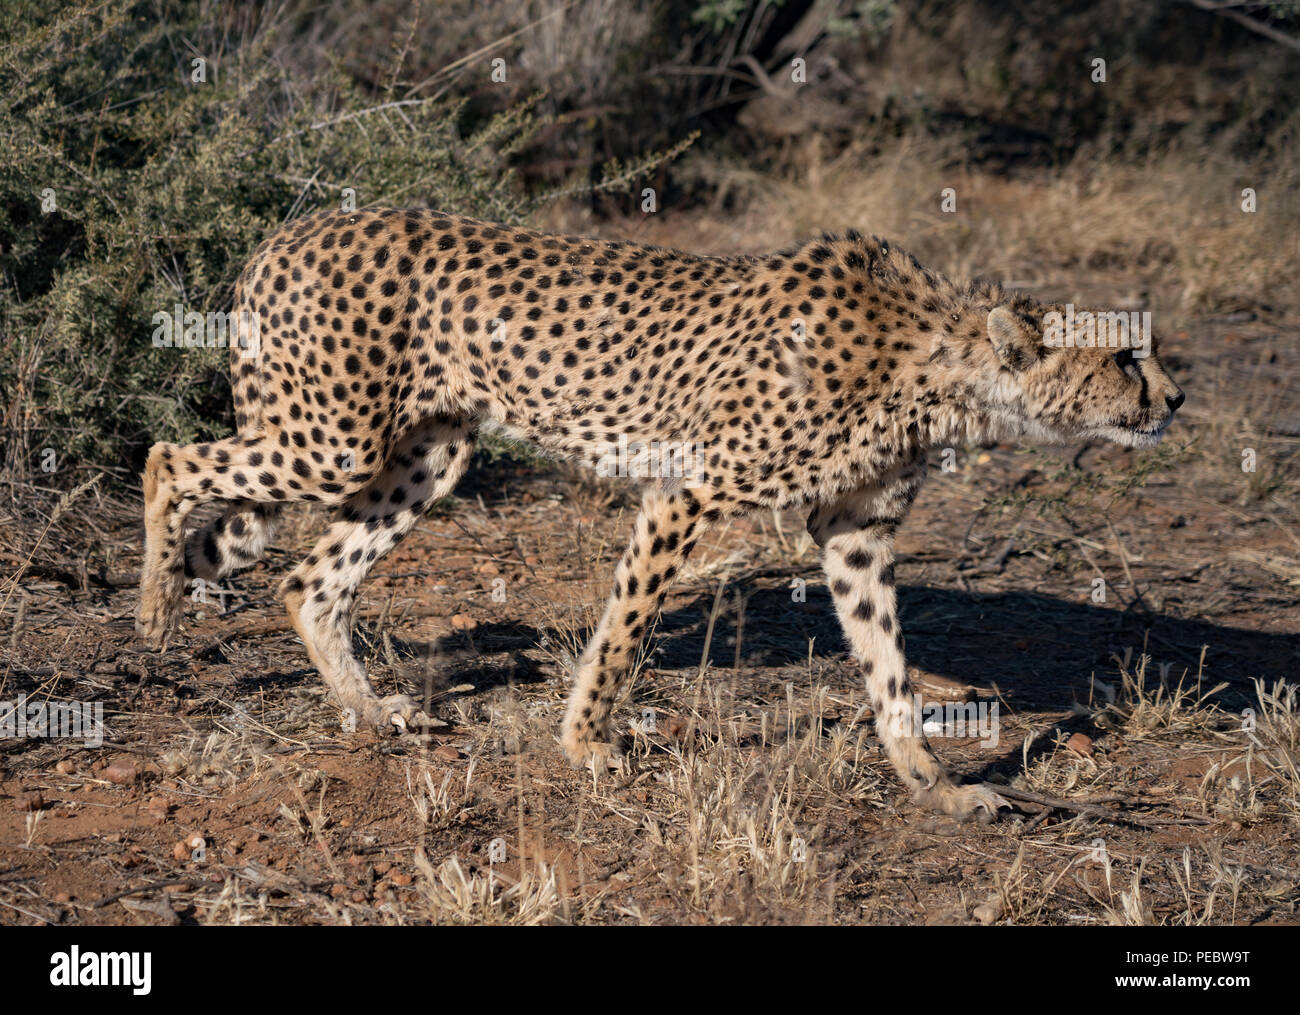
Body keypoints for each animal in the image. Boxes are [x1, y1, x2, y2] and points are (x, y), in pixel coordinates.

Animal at [137, 206, 1184, 822]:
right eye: (1125, 356)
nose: (1175, 399)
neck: (934, 360)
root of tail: (292, 228)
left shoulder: (855, 532)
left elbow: (887, 667)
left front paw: (936, 783)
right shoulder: (684, 490)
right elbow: (623, 634)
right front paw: (587, 744)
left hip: (426, 455)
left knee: (309, 580)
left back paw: (369, 709)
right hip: (335, 437)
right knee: (169, 459)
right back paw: (153, 611)